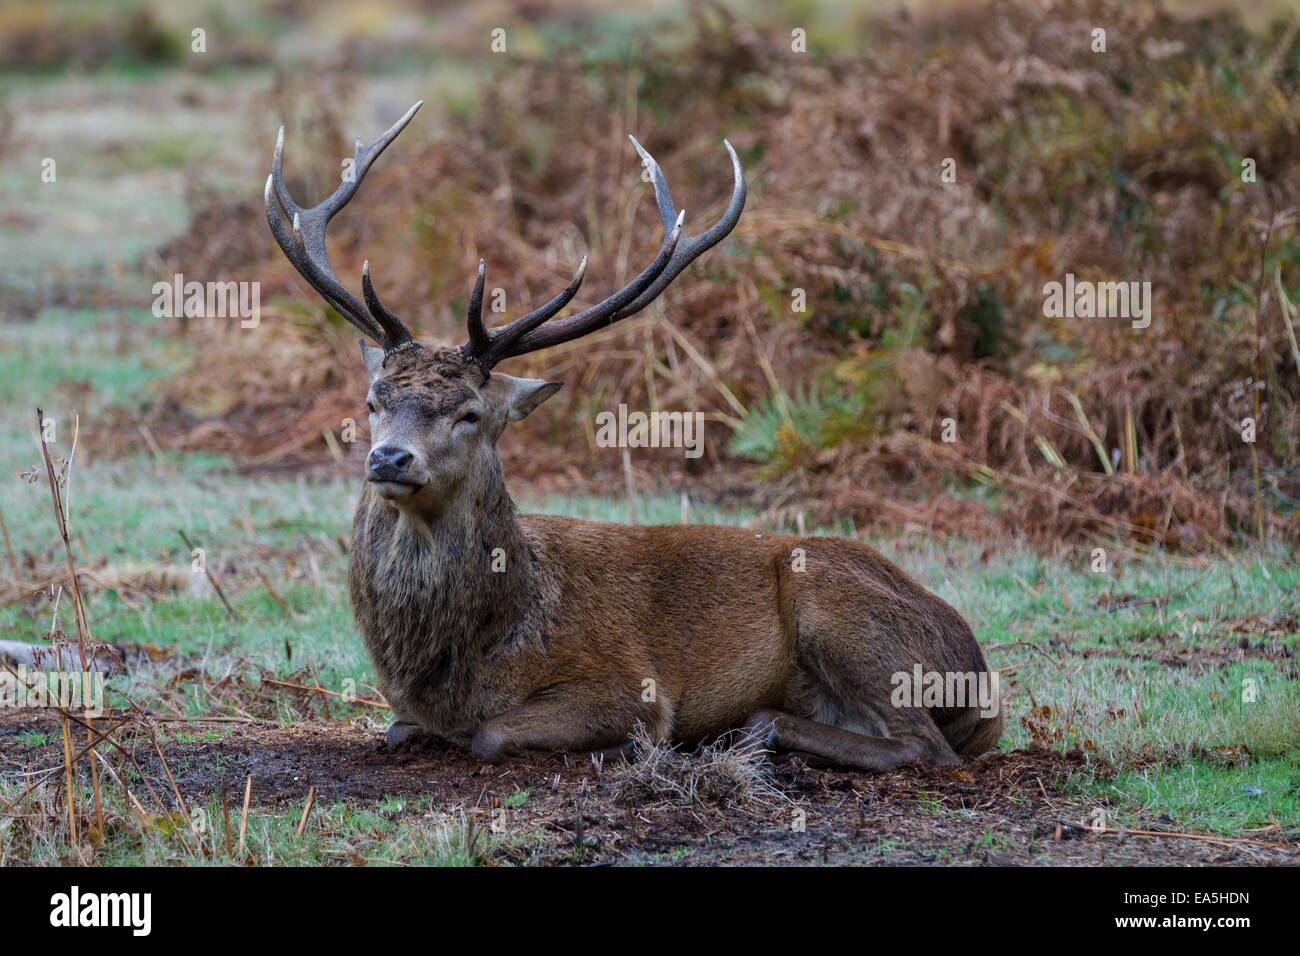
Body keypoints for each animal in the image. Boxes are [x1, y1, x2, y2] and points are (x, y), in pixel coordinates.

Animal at [263, 102, 1002, 771]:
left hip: (840, 609)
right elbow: (397, 729)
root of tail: (979, 680)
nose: (390, 459)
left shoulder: (626, 686)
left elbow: (491, 734)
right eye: (373, 401)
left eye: (469, 413)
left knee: (926, 749)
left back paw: (760, 732)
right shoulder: (406, 711)